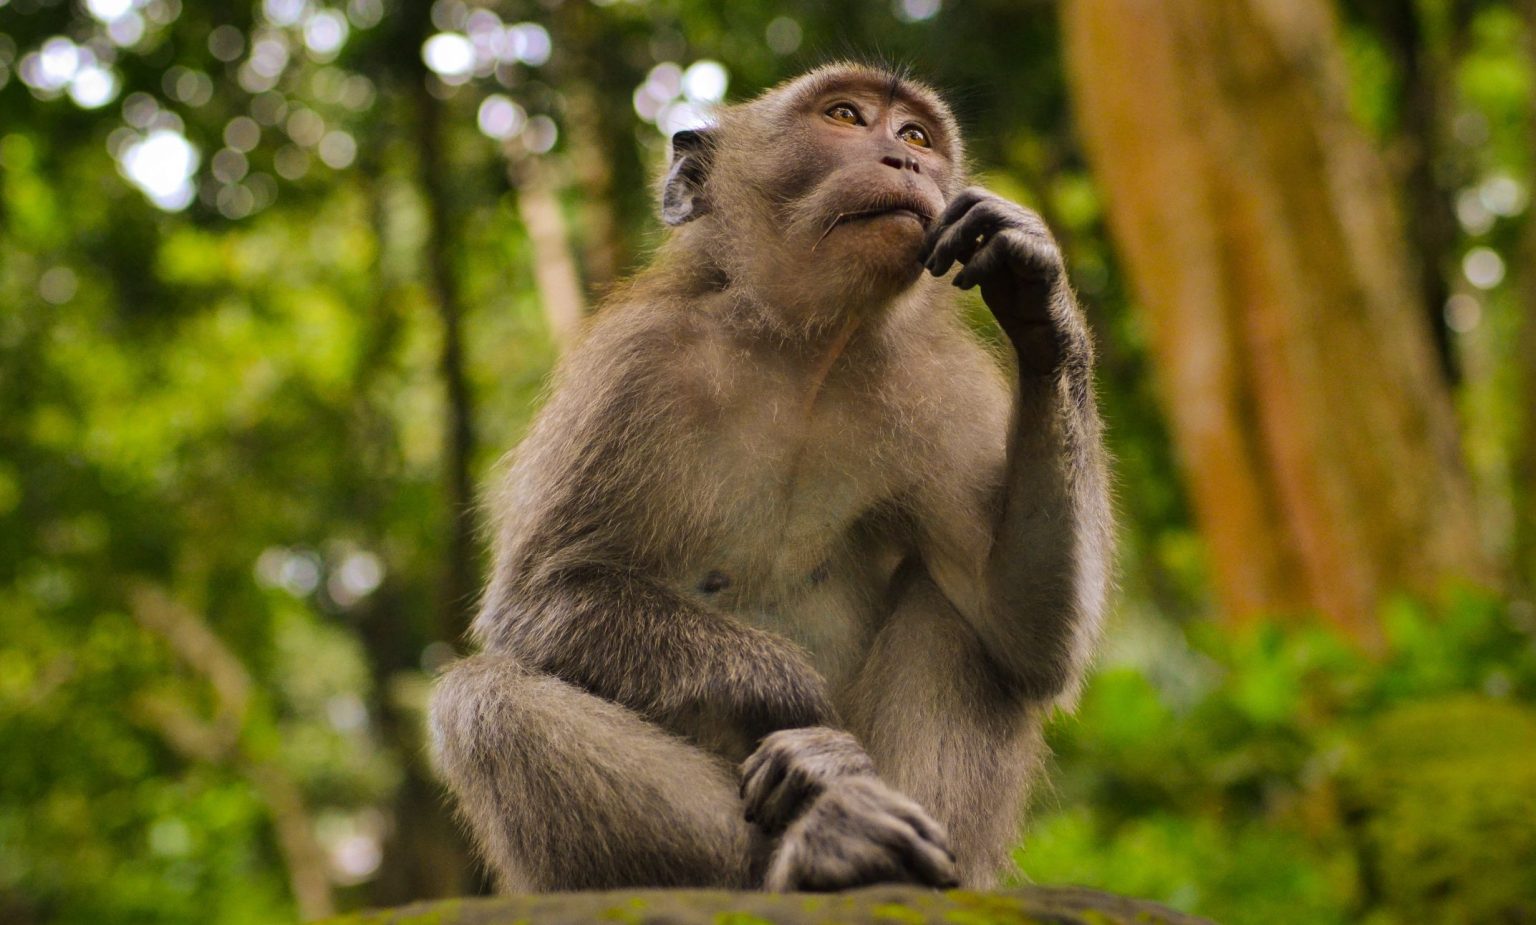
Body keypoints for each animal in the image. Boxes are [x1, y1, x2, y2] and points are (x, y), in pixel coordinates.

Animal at [429, 62, 1111, 893]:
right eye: (845, 117)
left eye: (917, 135)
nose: (905, 160)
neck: (803, 352)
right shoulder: (632, 368)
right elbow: (539, 598)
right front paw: (805, 712)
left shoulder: (942, 390)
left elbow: (1024, 630)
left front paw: (1037, 290)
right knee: (482, 699)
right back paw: (822, 842)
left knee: (957, 614)